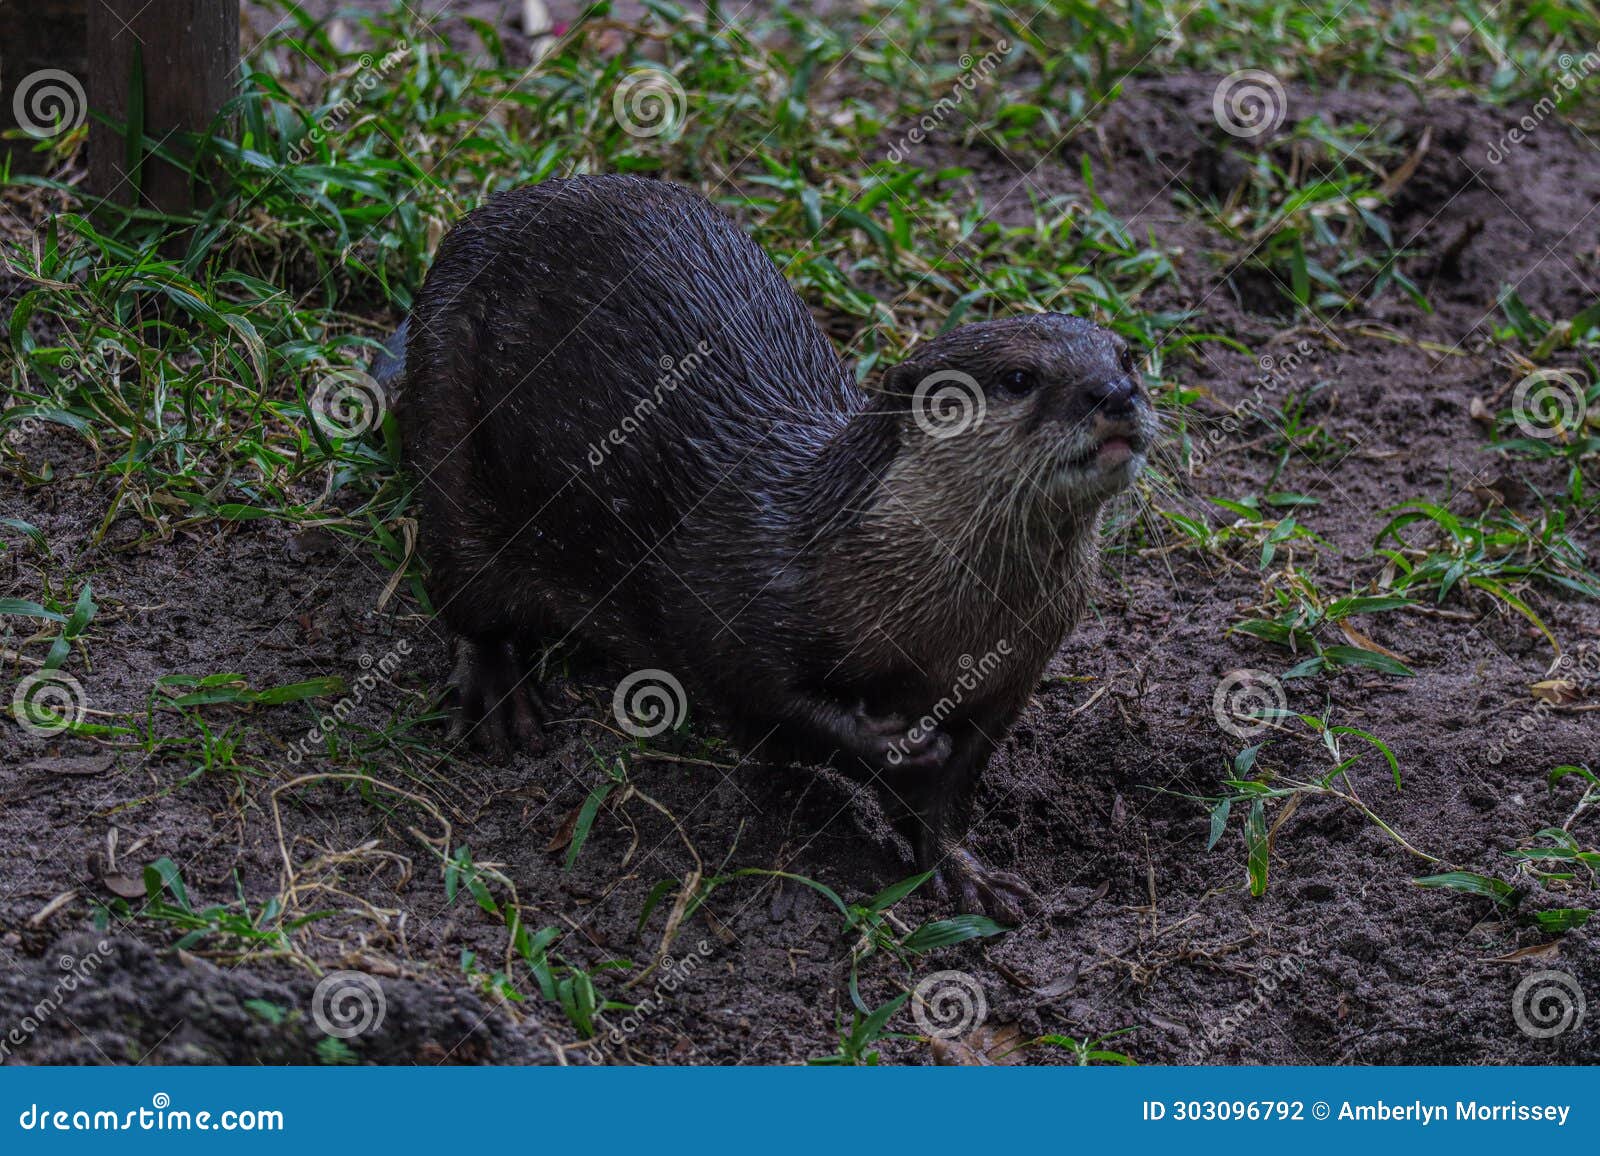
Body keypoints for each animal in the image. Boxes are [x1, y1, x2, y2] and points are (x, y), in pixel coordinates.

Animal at [388, 174, 1155, 921]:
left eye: (1129, 357)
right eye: (1020, 378)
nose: (1115, 392)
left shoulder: (1009, 682)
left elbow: (947, 796)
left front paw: (968, 872)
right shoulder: (734, 601)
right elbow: (771, 706)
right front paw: (891, 745)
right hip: (449, 429)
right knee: (466, 594)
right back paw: (499, 697)